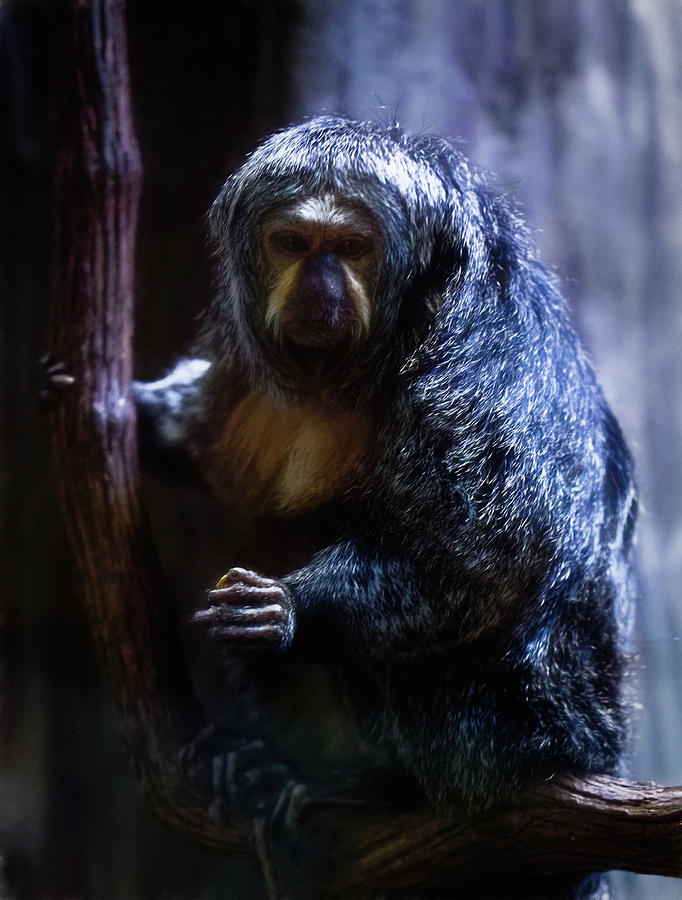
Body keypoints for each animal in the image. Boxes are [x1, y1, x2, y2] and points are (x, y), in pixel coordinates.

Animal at [134, 116, 637, 895]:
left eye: (352, 249)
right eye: (291, 243)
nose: (319, 288)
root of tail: (594, 747)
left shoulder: (482, 358)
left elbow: (492, 550)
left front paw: (293, 607)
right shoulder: (248, 385)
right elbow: (214, 458)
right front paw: (141, 418)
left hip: (515, 728)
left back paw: (377, 789)